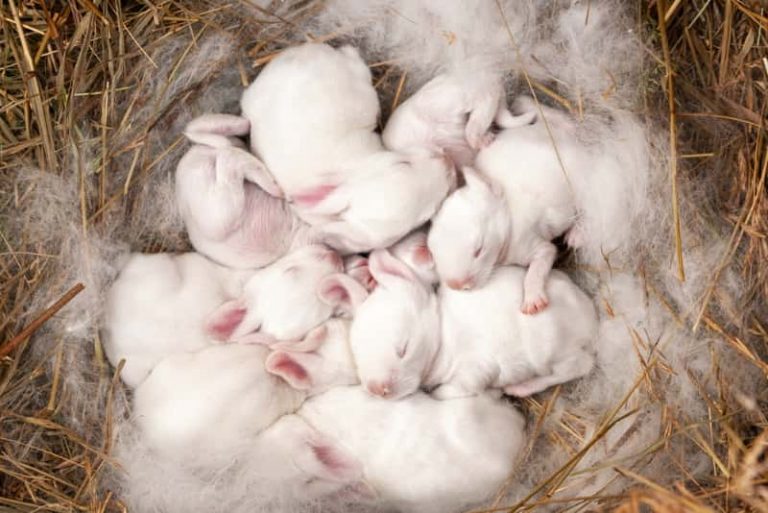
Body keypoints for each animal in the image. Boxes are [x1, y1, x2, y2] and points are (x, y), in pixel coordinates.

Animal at [346, 250, 597, 400]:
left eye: (404, 349)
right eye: (357, 354)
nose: (378, 390)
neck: (442, 333)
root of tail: (590, 319)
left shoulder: (477, 369)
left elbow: (453, 390)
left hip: (550, 349)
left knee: (578, 366)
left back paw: (520, 388)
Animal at [428, 96, 586, 314]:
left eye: (479, 250)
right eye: (433, 251)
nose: (456, 285)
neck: (507, 214)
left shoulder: (534, 244)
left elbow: (539, 266)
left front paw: (533, 302)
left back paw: (576, 235)